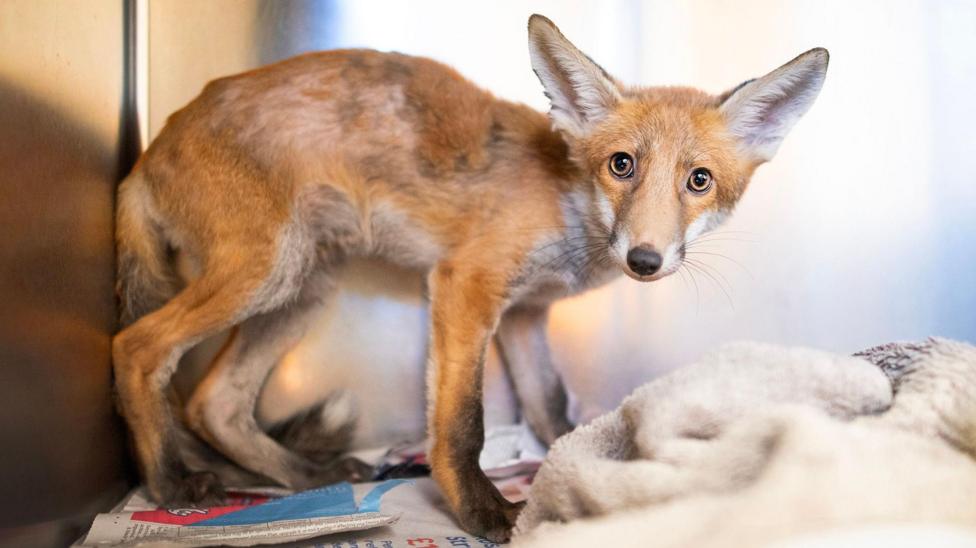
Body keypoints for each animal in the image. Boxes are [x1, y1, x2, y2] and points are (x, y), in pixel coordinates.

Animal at [112, 14, 828, 542]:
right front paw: (485, 513)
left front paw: (569, 477)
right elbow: (462, 426)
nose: (645, 260)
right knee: (139, 347)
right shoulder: (466, 285)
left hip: (304, 288)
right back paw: (172, 485)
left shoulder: (526, 315)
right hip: (267, 271)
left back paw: (306, 476)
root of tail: (148, 152)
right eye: (621, 165)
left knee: (217, 403)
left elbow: (550, 409)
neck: (569, 209)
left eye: (698, 181)